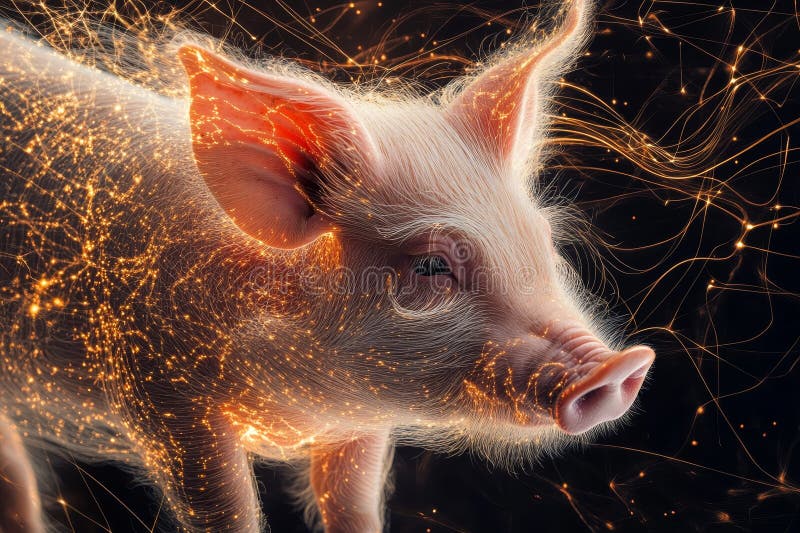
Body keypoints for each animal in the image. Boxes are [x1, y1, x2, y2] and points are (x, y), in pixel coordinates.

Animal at [0, 0, 655, 531]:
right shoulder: (163, 398)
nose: (621, 366)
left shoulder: (357, 423)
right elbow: (224, 507)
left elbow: (352, 502)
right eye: (431, 267)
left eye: (542, 240)